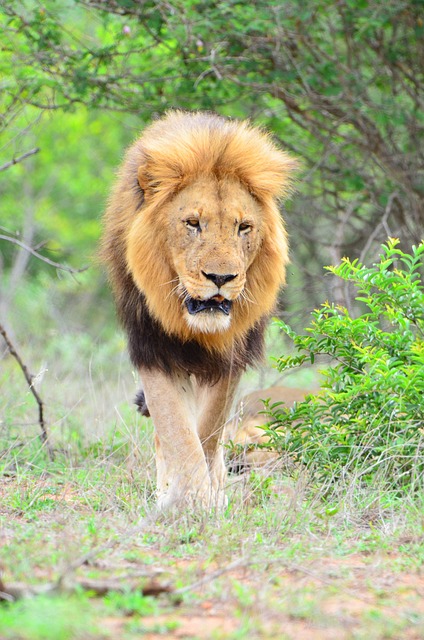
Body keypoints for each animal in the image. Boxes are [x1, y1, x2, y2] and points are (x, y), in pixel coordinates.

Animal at [100, 110, 296, 510]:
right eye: (193, 223)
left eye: (243, 227)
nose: (220, 278)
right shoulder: (153, 349)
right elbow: (176, 429)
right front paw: (186, 500)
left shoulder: (231, 357)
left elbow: (207, 429)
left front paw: (209, 495)